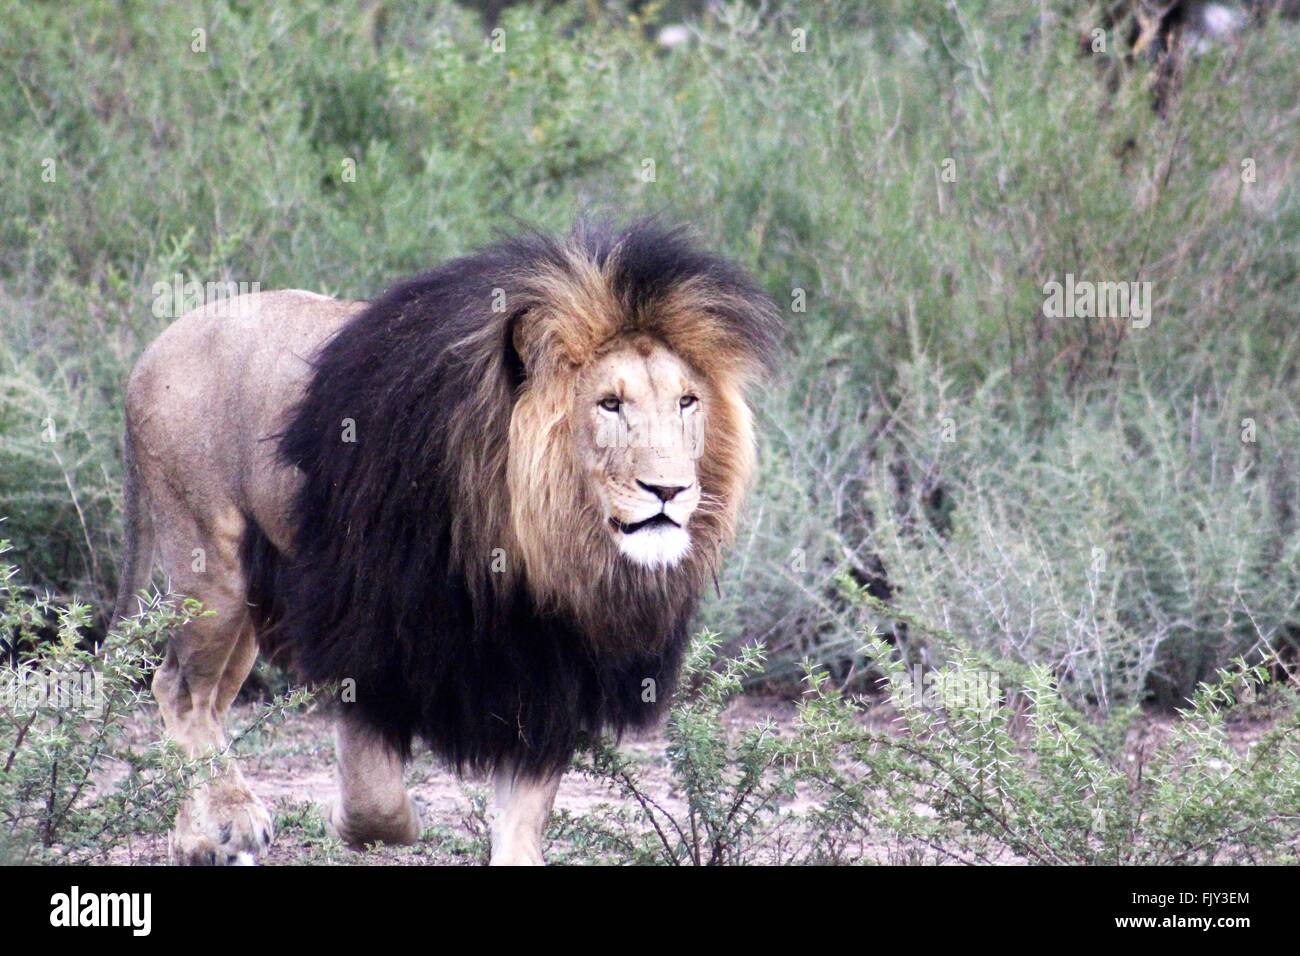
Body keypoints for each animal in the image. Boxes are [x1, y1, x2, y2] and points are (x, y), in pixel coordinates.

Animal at [114, 219, 781, 865]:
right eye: (609, 404)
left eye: (687, 402)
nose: (669, 489)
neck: (535, 540)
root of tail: (153, 348)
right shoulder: (366, 631)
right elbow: (374, 795)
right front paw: (368, 824)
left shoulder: (548, 664)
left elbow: (521, 819)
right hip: (210, 567)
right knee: (181, 691)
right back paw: (232, 820)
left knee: (208, 696)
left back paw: (195, 838)